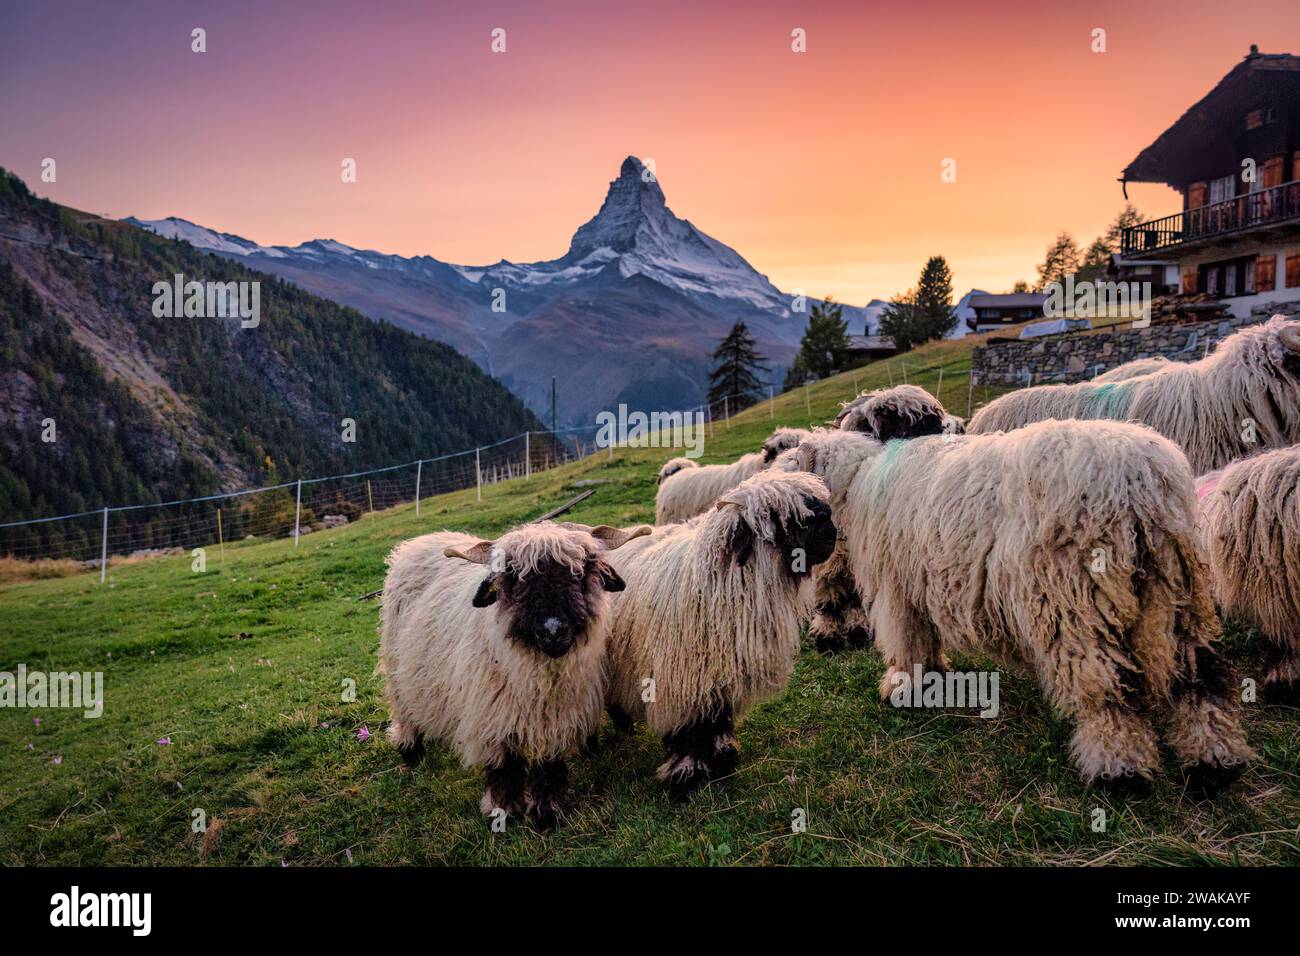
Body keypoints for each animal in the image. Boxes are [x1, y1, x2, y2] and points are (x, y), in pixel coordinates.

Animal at [380, 520, 650, 829]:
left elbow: (549, 765)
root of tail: (423, 539)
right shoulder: (492, 715)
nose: (553, 630)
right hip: (395, 666)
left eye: (582, 571)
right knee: (403, 708)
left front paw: (547, 813)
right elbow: (504, 767)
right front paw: (503, 812)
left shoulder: (558, 718)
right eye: (514, 578)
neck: (539, 678)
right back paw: (410, 748)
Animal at [603, 469, 838, 798]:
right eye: (780, 517)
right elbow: (688, 730)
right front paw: (687, 776)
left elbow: (716, 718)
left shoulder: (718, 672)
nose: (830, 524)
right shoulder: (681, 678)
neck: (715, 584)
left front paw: (722, 759)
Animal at [776, 410, 1255, 791]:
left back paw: (1118, 769)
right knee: (1200, 676)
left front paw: (905, 686)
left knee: (1108, 690)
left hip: (1077, 601)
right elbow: (927, 638)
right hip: (1175, 589)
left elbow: (908, 641)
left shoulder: (899, 590)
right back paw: (1214, 761)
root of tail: (1137, 481)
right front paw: (933, 675)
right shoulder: (918, 584)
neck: (858, 480)